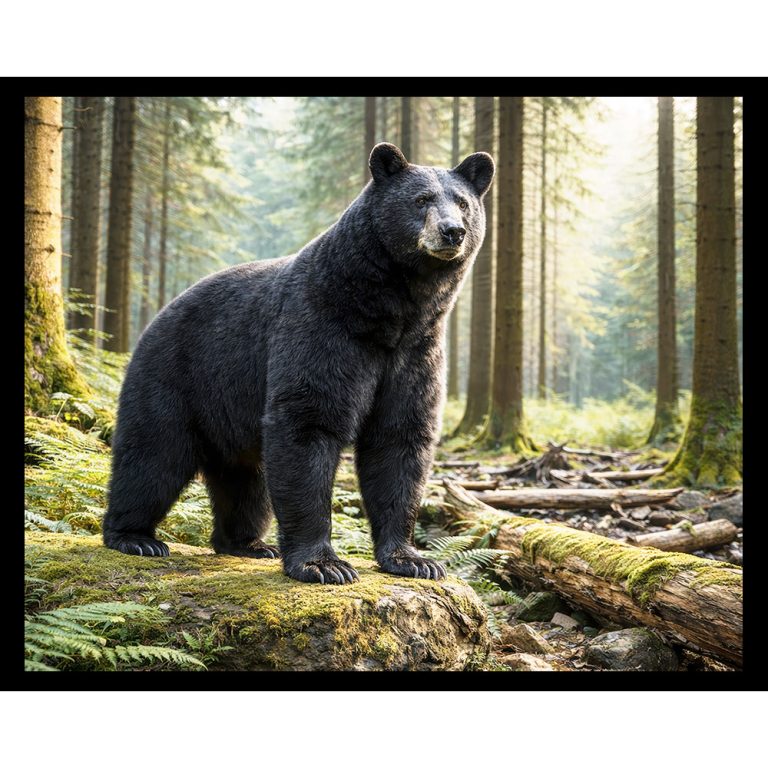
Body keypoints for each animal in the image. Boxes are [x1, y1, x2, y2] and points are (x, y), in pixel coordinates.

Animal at [102, 142, 495, 584]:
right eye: (421, 199)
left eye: (462, 203)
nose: (452, 231)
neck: (391, 311)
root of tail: (155, 318)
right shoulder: (322, 327)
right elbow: (309, 423)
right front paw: (324, 564)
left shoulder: (415, 353)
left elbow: (400, 437)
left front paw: (414, 559)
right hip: (176, 376)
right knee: (153, 456)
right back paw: (135, 537)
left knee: (245, 480)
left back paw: (248, 543)